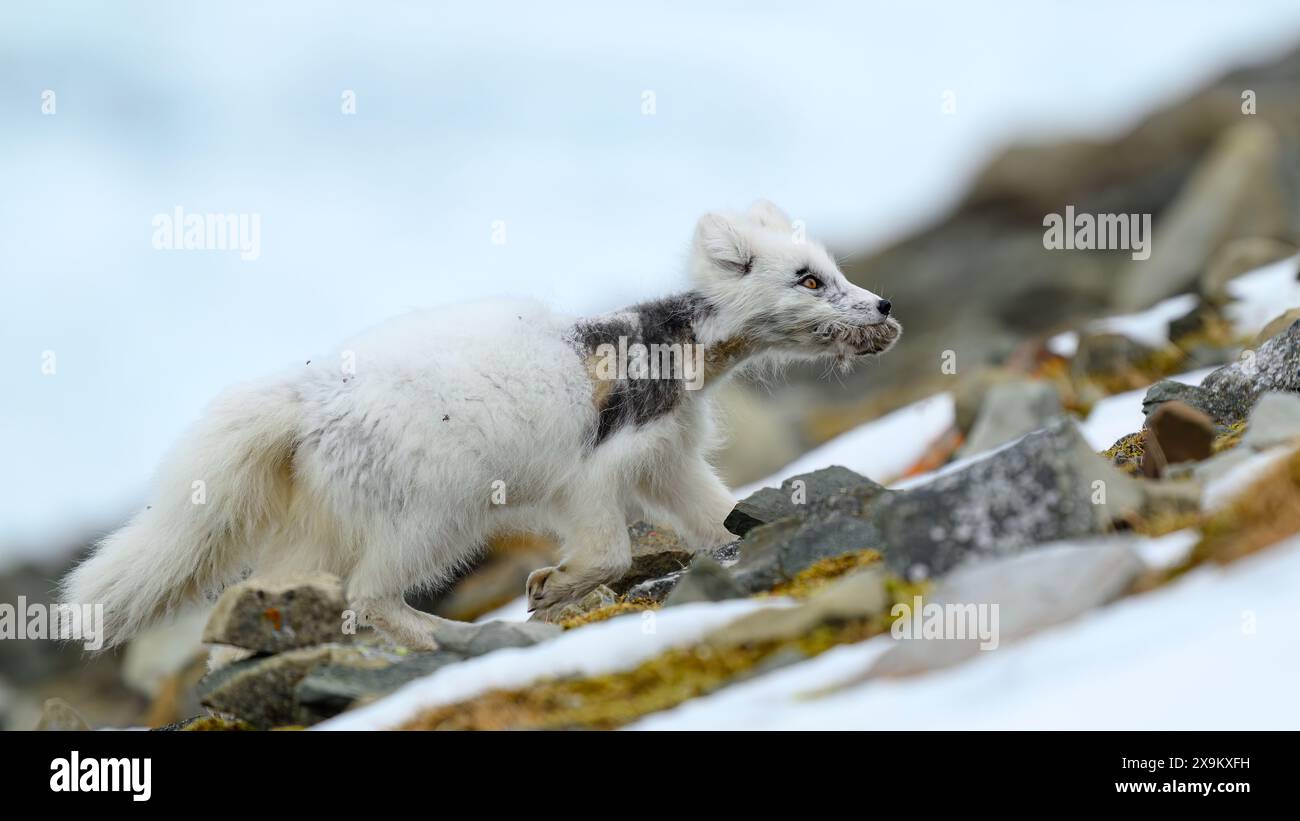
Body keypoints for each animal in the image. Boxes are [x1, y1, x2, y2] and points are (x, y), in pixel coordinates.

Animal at [62, 201, 900, 651]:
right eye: (808, 279)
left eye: (830, 266)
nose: (885, 305)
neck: (672, 347)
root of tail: (301, 400)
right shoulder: (594, 465)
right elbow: (606, 548)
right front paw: (550, 585)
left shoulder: (666, 456)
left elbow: (714, 511)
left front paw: (740, 540)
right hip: (436, 515)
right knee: (367, 594)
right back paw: (450, 639)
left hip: (330, 528)